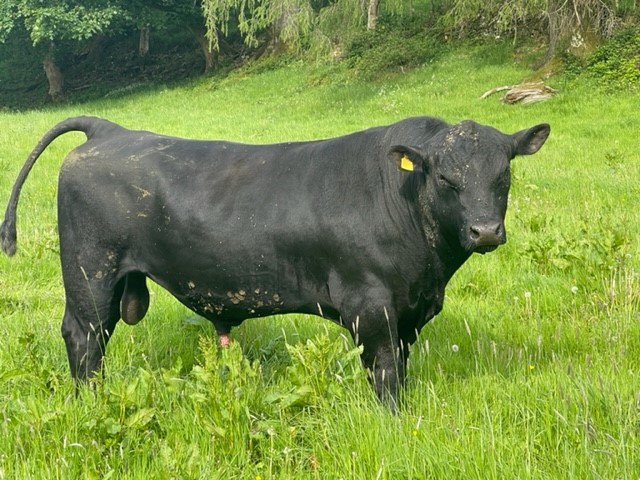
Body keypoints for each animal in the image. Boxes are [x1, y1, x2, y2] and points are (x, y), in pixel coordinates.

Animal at [1, 116, 550, 408]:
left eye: (503, 176)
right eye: (446, 179)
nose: (485, 231)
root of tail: (109, 130)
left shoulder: (411, 311)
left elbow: (402, 364)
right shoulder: (371, 306)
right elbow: (385, 370)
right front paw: (391, 418)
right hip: (90, 272)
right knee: (84, 337)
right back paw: (90, 402)